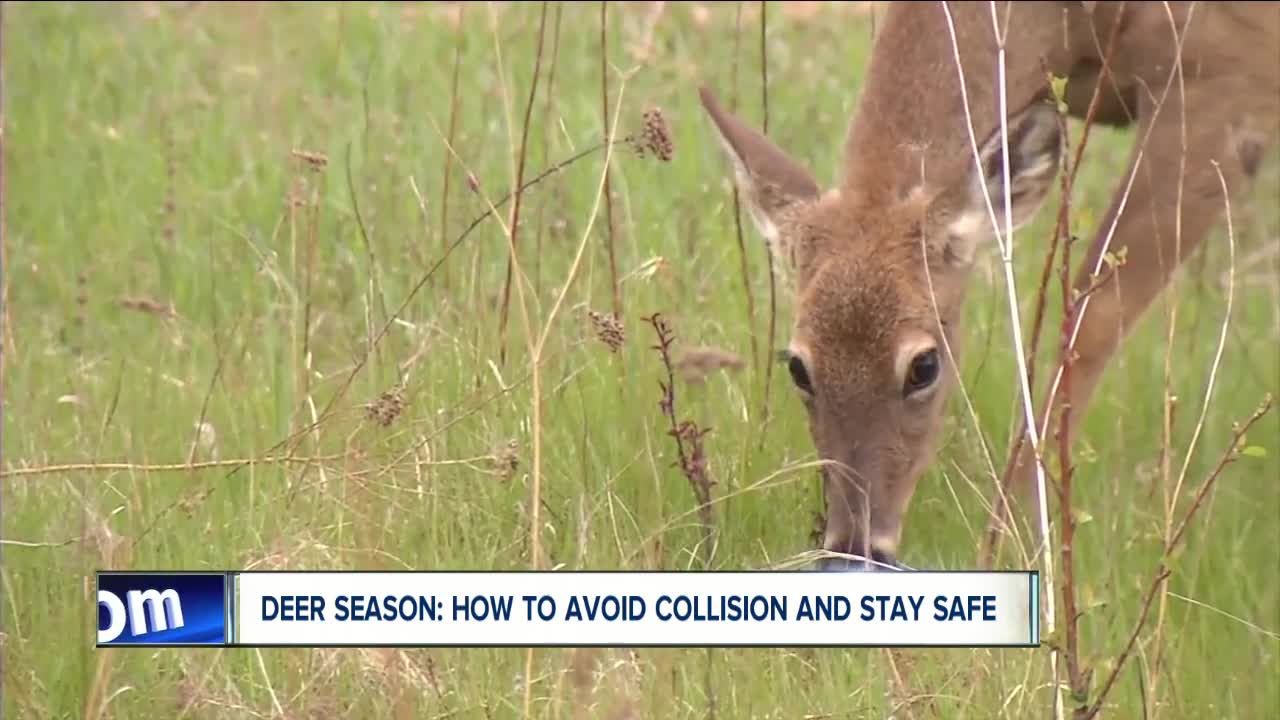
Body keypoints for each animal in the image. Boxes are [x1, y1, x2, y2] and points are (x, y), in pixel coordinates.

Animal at [699, 1, 1278, 571]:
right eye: (798, 366)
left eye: (924, 365)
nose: (853, 551)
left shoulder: (1226, 80)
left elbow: (1090, 318)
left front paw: (1007, 546)